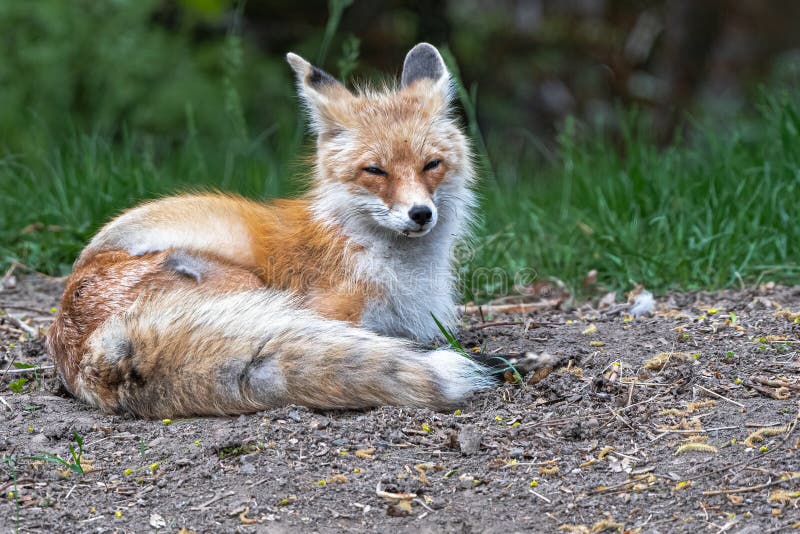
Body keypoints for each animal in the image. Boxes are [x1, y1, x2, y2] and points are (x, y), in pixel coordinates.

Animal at [48, 43, 543, 419]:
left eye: (431, 165)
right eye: (375, 171)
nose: (420, 214)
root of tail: (92, 343)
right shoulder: (330, 313)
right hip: (246, 288)